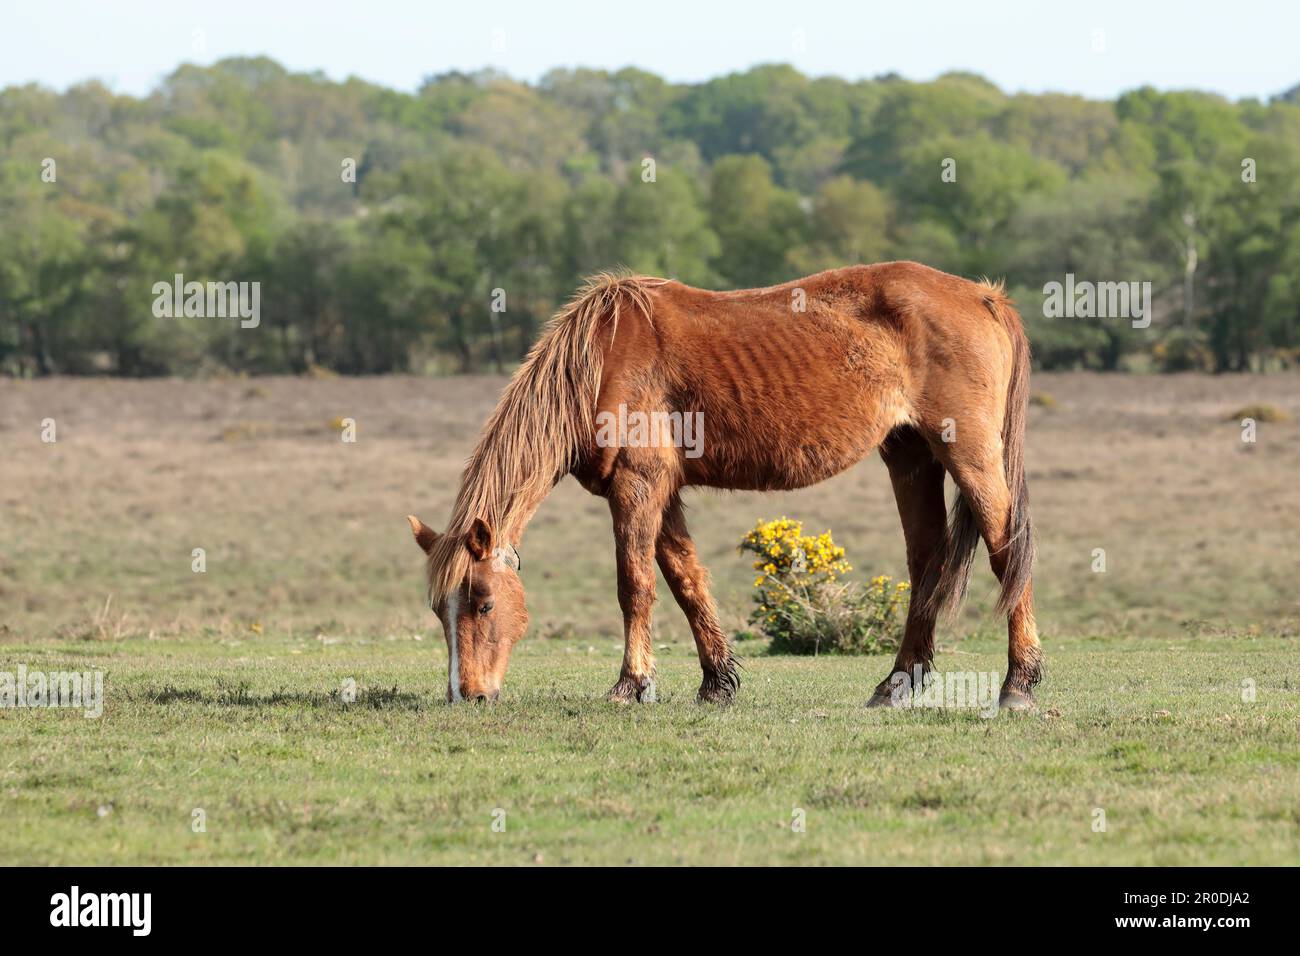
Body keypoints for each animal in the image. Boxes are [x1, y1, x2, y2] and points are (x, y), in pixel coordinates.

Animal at [407, 261, 1042, 709]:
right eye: (441, 610)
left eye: (485, 603)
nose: (468, 695)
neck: (602, 360)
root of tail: (984, 296)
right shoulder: (662, 494)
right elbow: (686, 581)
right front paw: (717, 681)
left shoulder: (637, 487)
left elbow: (635, 585)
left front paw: (631, 684)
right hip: (910, 455)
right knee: (927, 561)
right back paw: (897, 684)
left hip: (970, 456)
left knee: (1005, 551)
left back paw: (1019, 684)